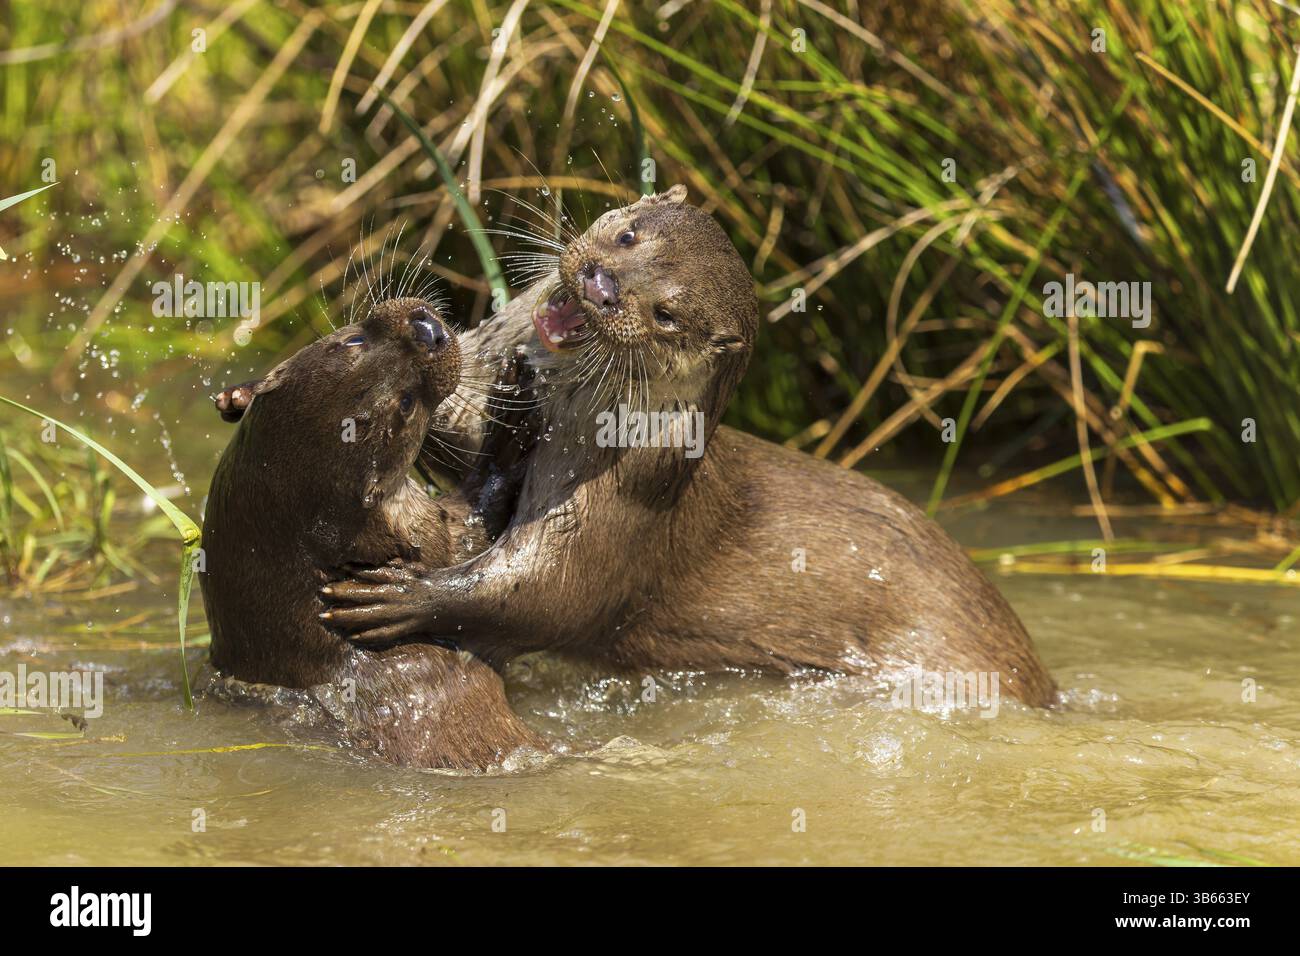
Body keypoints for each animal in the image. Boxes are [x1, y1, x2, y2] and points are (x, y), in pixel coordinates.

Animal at [200, 297, 544, 769]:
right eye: (406, 404)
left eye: (353, 340)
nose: (427, 330)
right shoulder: (435, 537)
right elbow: (480, 522)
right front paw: (511, 422)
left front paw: (238, 394)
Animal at [311, 186, 1056, 707]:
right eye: (627, 234)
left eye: (666, 315)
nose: (602, 285)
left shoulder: (625, 504)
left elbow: (547, 594)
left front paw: (404, 599)